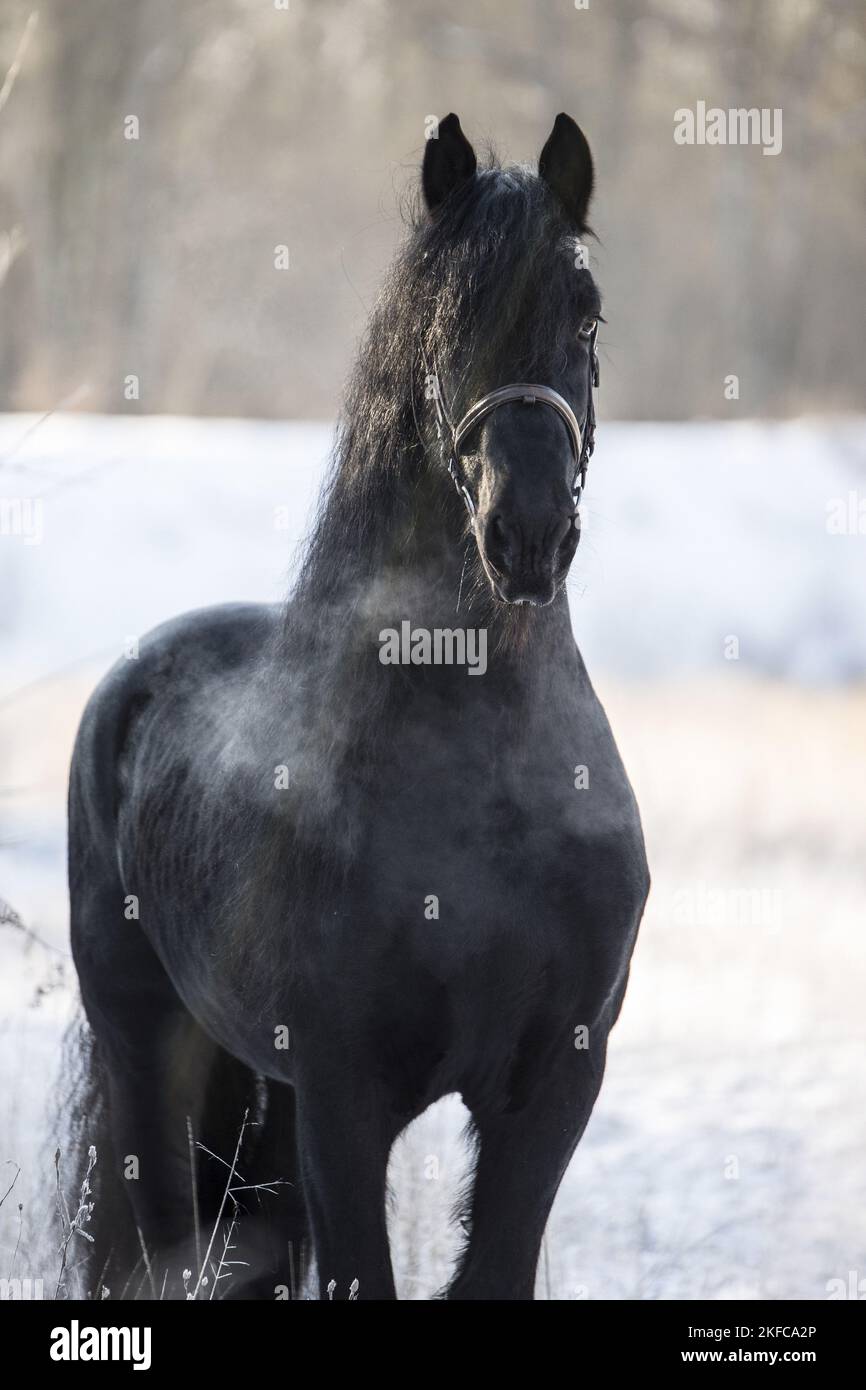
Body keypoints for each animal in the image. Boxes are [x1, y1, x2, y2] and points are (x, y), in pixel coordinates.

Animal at [67, 112, 649, 1301]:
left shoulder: (552, 1087)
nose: (525, 532)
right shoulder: (344, 1097)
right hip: (147, 1048)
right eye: (443, 323)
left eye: (587, 312)